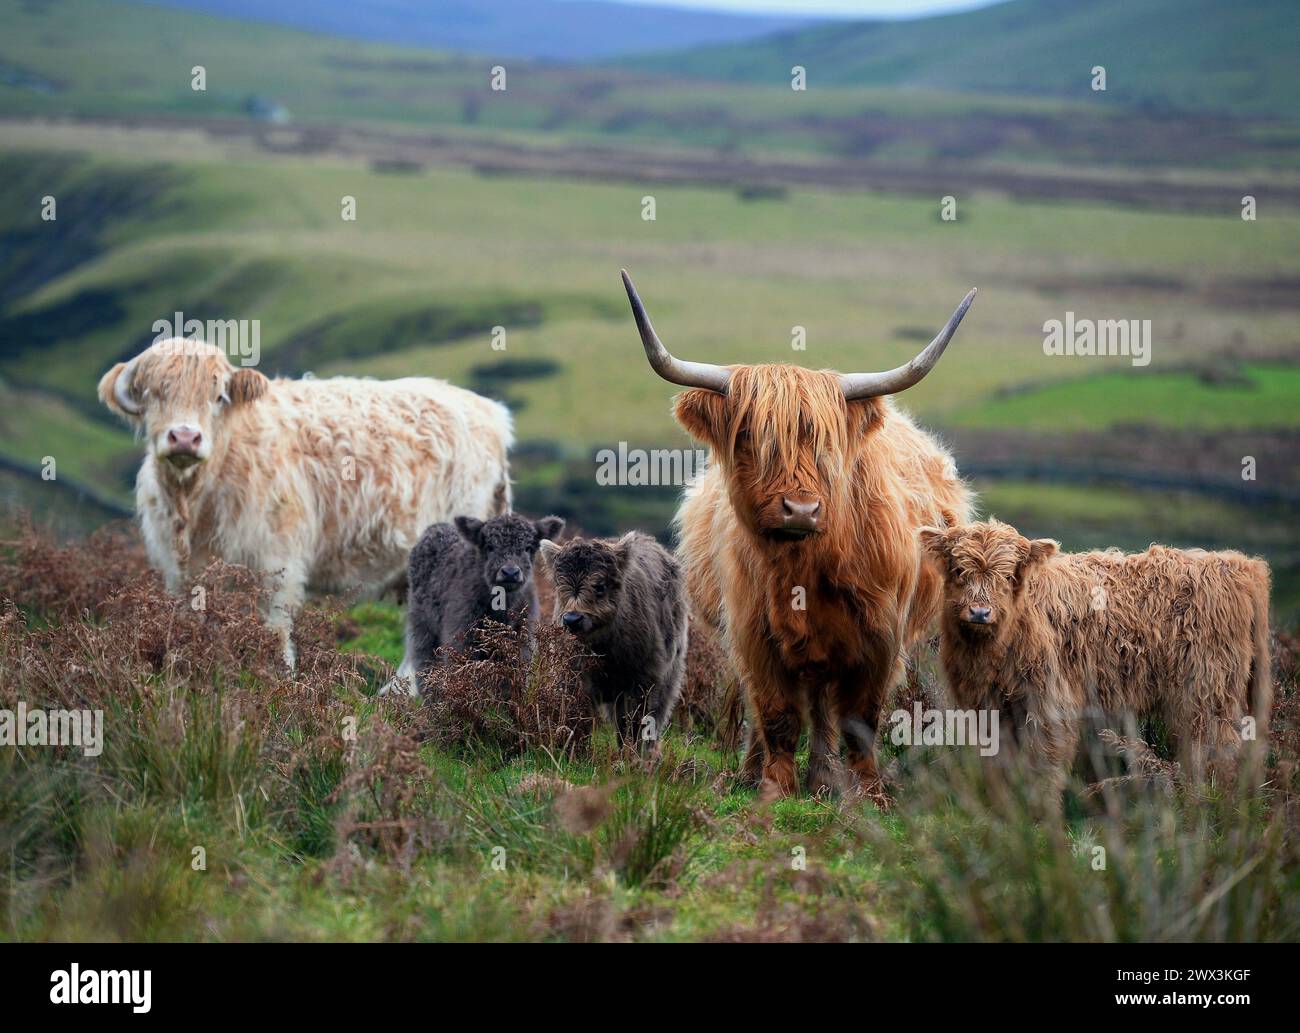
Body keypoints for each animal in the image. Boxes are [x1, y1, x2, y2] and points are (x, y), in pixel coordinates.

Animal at [98, 337, 513, 671]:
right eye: (154, 393)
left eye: (217, 397)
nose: (185, 437)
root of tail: (490, 412)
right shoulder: (182, 571)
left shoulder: (276, 560)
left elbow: (274, 629)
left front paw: (277, 678)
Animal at [539, 532, 688, 753]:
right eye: (559, 584)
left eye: (600, 586)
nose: (573, 619)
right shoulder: (572, 676)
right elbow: (576, 717)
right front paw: (571, 750)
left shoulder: (642, 679)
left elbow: (636, 722)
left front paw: (632, 753)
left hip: (670, 674)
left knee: (656, 713)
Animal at [619, 269, 977, 801]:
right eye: (750, 436)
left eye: (826, 443)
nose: (801, 509)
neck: (806, 565)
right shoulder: (754, 633)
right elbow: (777, 714)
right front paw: (775, 788)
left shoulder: (880, 637)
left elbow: (859, 717)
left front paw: (867, 792)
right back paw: (754, 770)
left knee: (824, 704)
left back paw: (825, 777)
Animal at [919, 520, 1273, 795]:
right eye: (959, 570)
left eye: (1008, 576)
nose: (980, 612)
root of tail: (1239, 565)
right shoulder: (990, 706)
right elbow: (999, 762)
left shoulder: (1050, 700)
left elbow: (1044, 759)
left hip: (1206, 691)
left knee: (1216, 749)